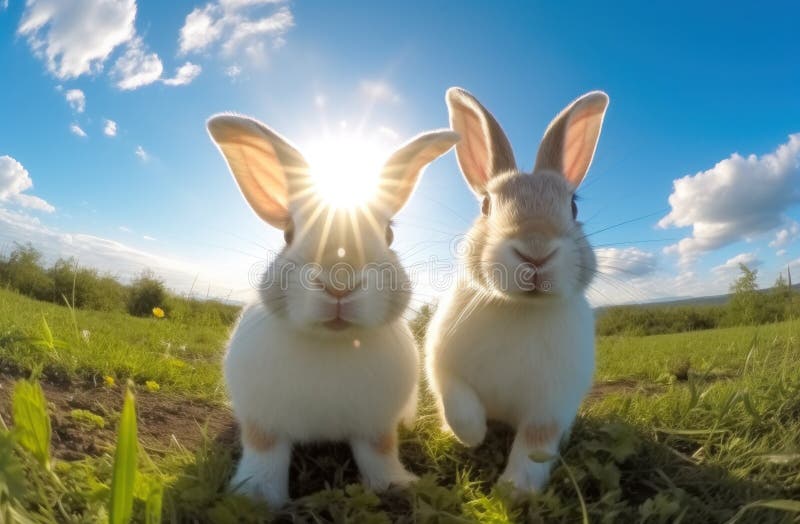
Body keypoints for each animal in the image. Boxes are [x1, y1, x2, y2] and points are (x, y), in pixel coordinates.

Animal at [207, 113, 459, 507]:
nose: (339, 281)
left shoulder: (376, 424)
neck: (333, 343)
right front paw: (255, 496)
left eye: (388, 234)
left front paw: (396, 484)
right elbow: (265, 454)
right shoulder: (263, 421)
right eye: (288, 233)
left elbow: (379, 452)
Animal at [425, 88, 608, 493]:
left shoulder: (550, 406)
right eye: (486, 204)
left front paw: (514, 491)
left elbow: (535, 444)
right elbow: (458, 405)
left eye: (573, 207)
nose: (535, 250)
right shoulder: (442, 367)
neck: (520, 308)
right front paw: (473, 435)